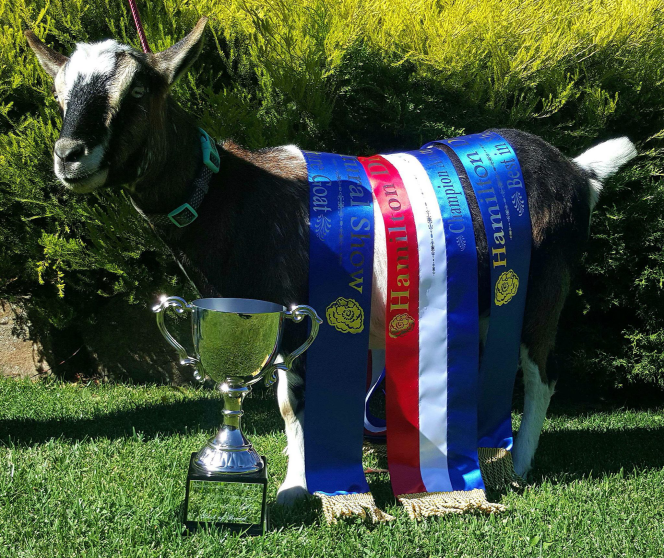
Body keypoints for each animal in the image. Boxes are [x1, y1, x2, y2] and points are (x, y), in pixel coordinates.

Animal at [26, 18, 637, 505]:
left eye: (136, 94)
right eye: (60, 94)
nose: (69, 156)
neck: (233, 196)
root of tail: (580, 173)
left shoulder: (294, 316)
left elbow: (291, 402)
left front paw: (296, 487)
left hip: (540, 291)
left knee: (542, 373)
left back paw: (521, 465)